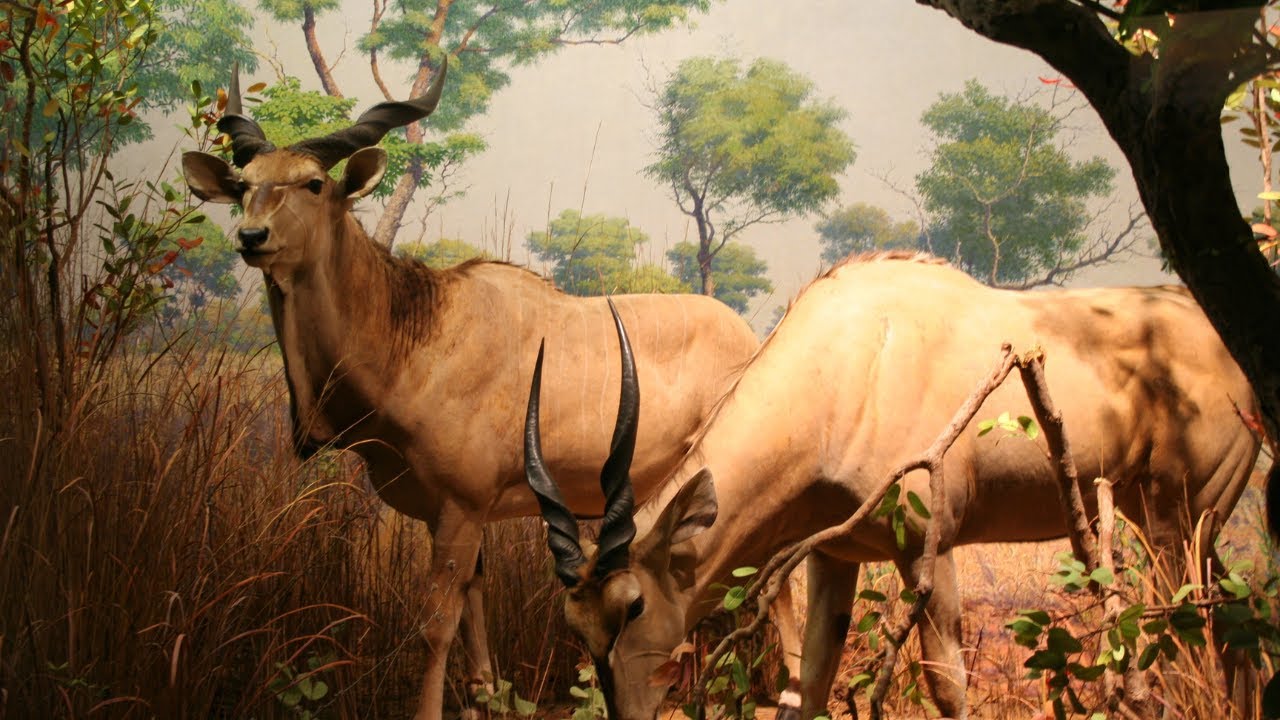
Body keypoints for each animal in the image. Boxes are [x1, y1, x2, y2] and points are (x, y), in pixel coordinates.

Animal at [180, 61, 803, 719]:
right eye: (244, 184)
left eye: (314, 183)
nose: (252, 236)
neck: (415, 336)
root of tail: (754, 339)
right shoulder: (461, 516)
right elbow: (473, 620)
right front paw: (486, 697)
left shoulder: (460, 507)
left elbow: (435, 625)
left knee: (783, 577)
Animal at [525, 252, 1261, 720]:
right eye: (575, 621)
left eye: (633, 606)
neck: (849, 361)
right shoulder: (834, 555)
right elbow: (806, 691)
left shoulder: (927, 547)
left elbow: (949, 688)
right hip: (1173, 522)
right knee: (1238, 628)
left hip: (1177, 522)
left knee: (1194, 637)